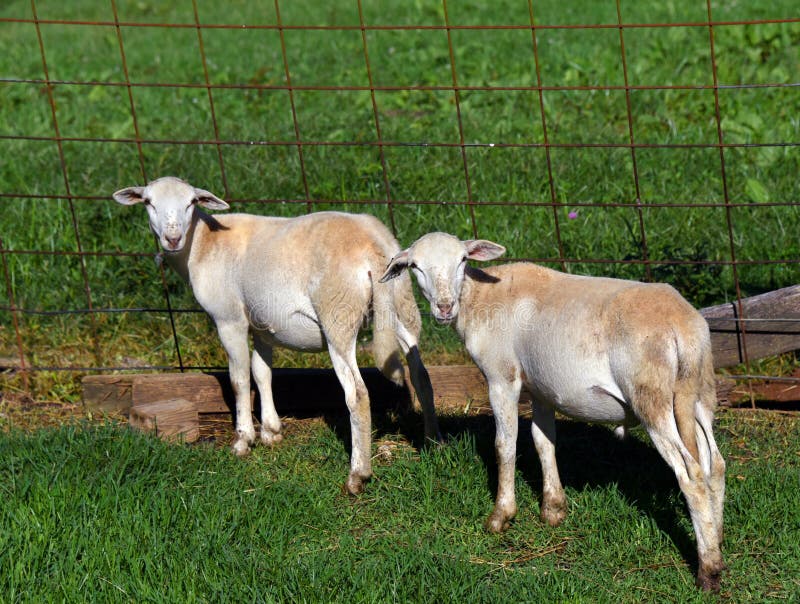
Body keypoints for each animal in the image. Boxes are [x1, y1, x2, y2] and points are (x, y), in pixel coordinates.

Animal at [113, 176, 440, 495]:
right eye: (148, 202)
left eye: (191, 202)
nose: (172, 239)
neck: (203, 244)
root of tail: (373, 246)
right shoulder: (262, 327)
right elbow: (262, 372)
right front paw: (271, 431)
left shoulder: (229, 319)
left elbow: (239, 379)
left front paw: (244, 440)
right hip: (403, 307)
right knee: (421, 377)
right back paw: (432, 444)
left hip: (338, 316)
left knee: (357, 395)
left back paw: (357, 476)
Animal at [380, 232, 726, 591]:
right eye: (415, 266)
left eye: (462, 260)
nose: (445, 307)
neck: (480, 298)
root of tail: (682, 329)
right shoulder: (541, 387)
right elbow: (543, 440)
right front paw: (553, 509)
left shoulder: (501, 376)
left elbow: (505, 445)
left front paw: (501, 515)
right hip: (699, 393)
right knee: (715, 465)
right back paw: (715, 540)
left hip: (652, 396)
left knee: (692, 475)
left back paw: (708, 570)